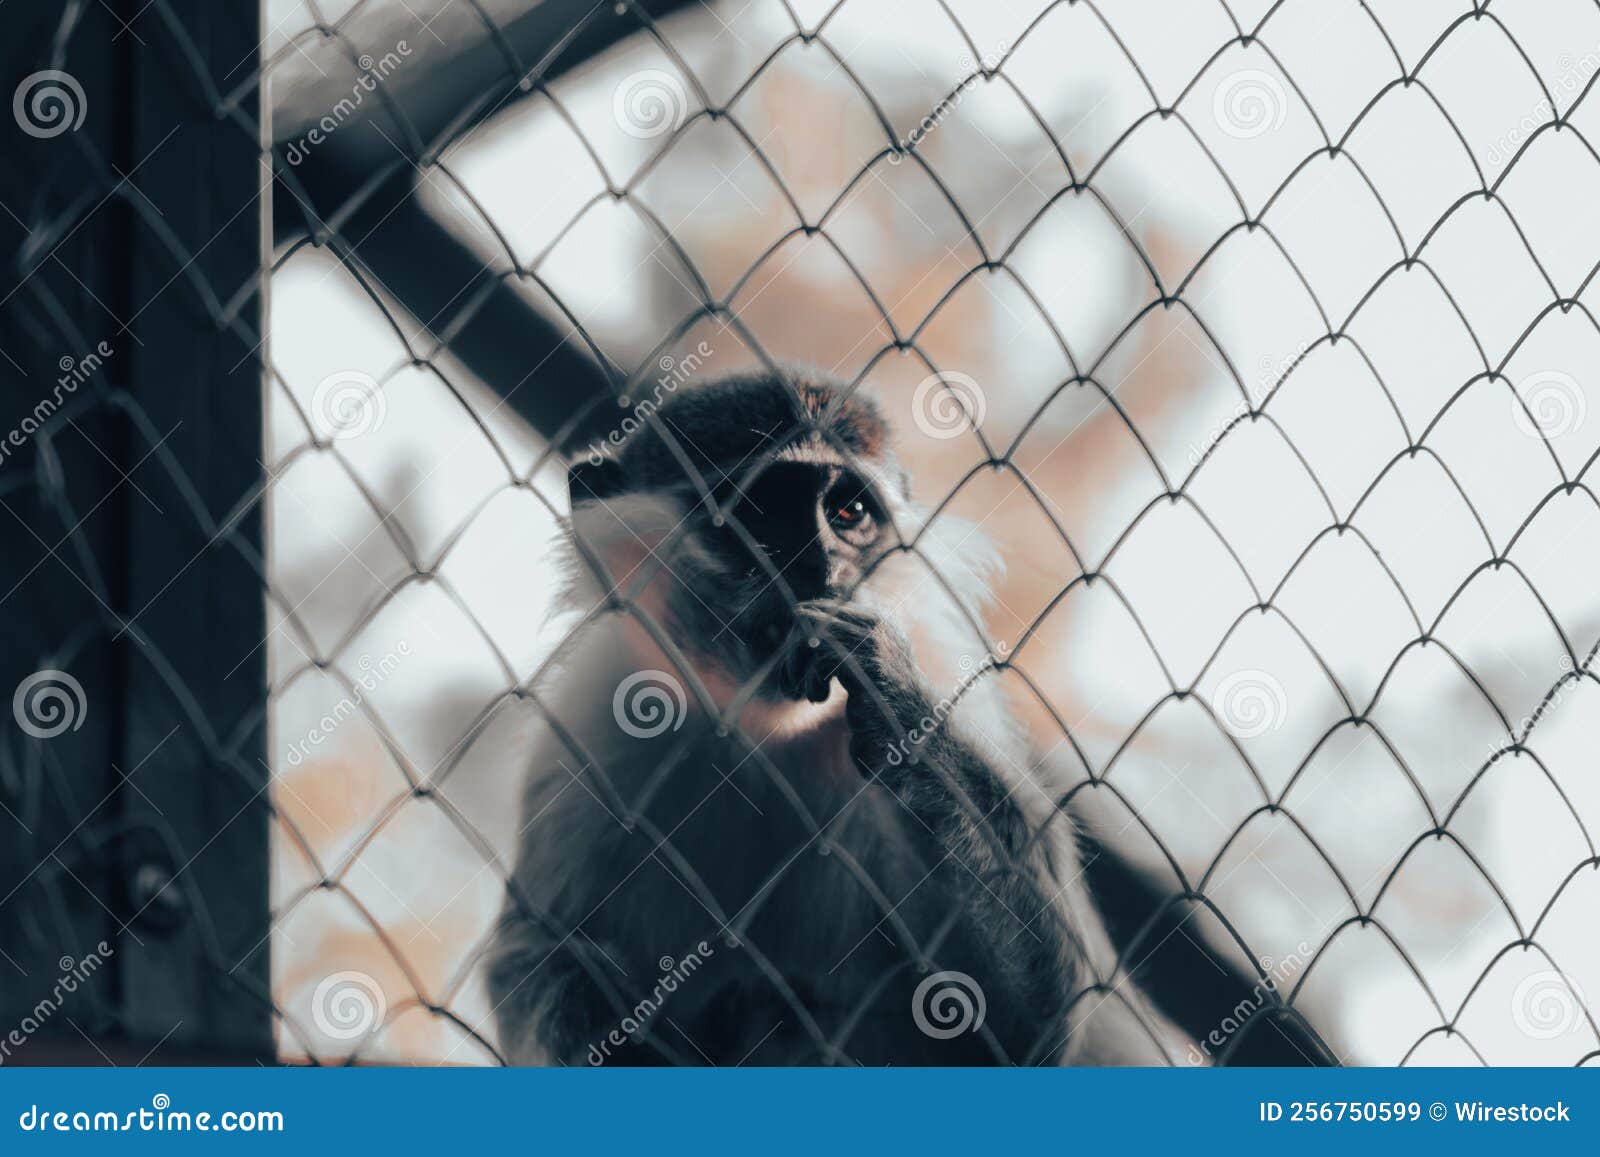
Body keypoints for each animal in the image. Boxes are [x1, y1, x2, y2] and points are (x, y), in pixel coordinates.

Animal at [485, 367, 1191, 1066]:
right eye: (763, 510)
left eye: (849, 513)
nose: (821, 565)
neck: (760, 732)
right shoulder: (591, 719)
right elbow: (533, 962)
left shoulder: (949, 675)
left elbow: (1026, 1026)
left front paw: (889, 696)